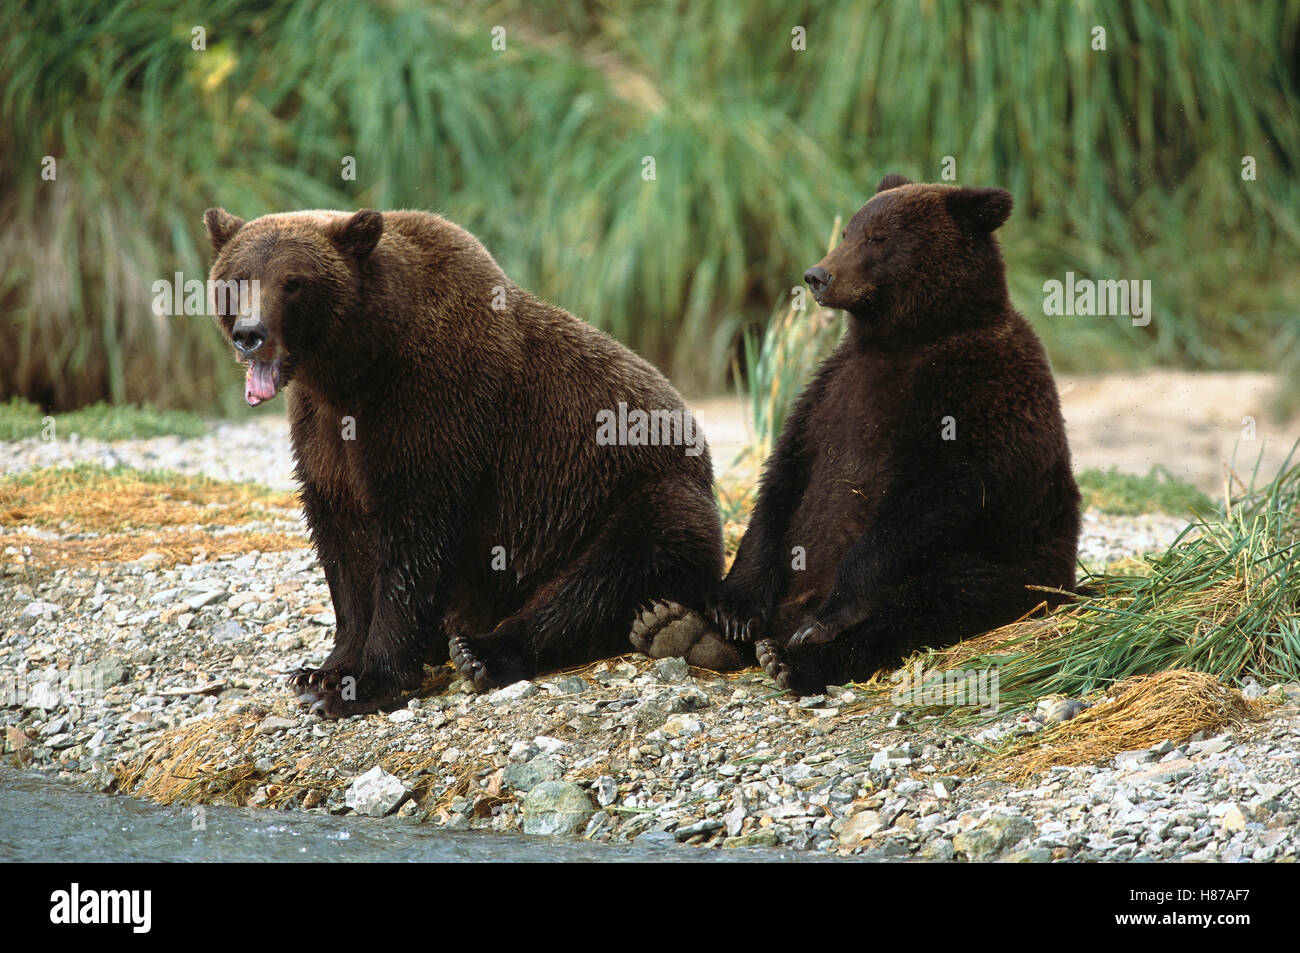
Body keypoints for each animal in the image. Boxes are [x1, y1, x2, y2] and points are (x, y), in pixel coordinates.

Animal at [204, 207, 726, 715]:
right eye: (238, 278)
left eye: (293, 281)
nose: (250, 334)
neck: (353, 367)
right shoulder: (322, 434)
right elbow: (341, 541)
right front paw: (322, 672)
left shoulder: (435, 406)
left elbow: (415, 543)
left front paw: (363, 682)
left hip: (633, 494)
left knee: (613, 566)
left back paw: (489, 651)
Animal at [631, 175, 1081, 694]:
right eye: (848, 230)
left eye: (879, 238)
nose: (817, 275)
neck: (906, 338)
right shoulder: (829, 392)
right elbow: (783, 480)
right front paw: (734, 609)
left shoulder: (978, 391)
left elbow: (935, 496)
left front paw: (829, 618)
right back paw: (675, 625)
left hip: (1013, 568)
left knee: (931, 602)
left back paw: (791, 656)